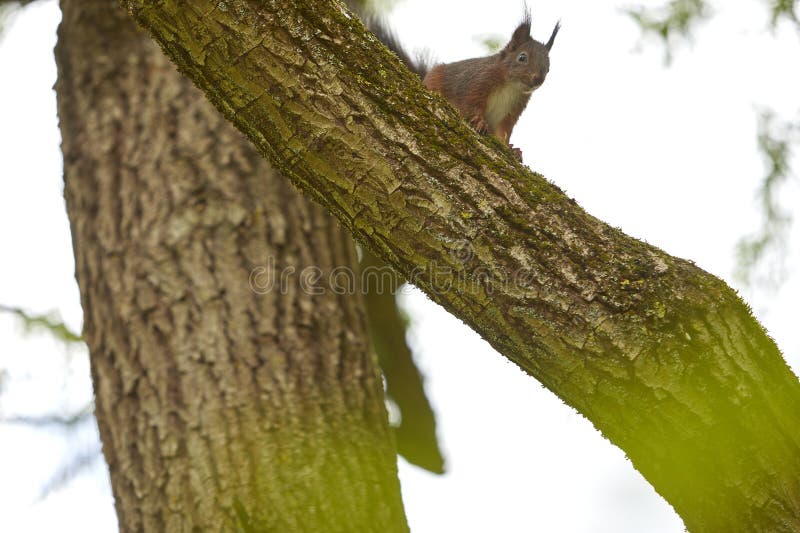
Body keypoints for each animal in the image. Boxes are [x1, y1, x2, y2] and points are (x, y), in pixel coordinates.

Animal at [357, 4, 560, 162]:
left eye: (549, 67)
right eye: (522, 57)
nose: (538, 79)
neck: (511, 87)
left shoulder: (512, 109)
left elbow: (503, 131)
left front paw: (512, 149)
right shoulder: (477, 81)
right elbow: (471, 102)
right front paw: (478, 121)